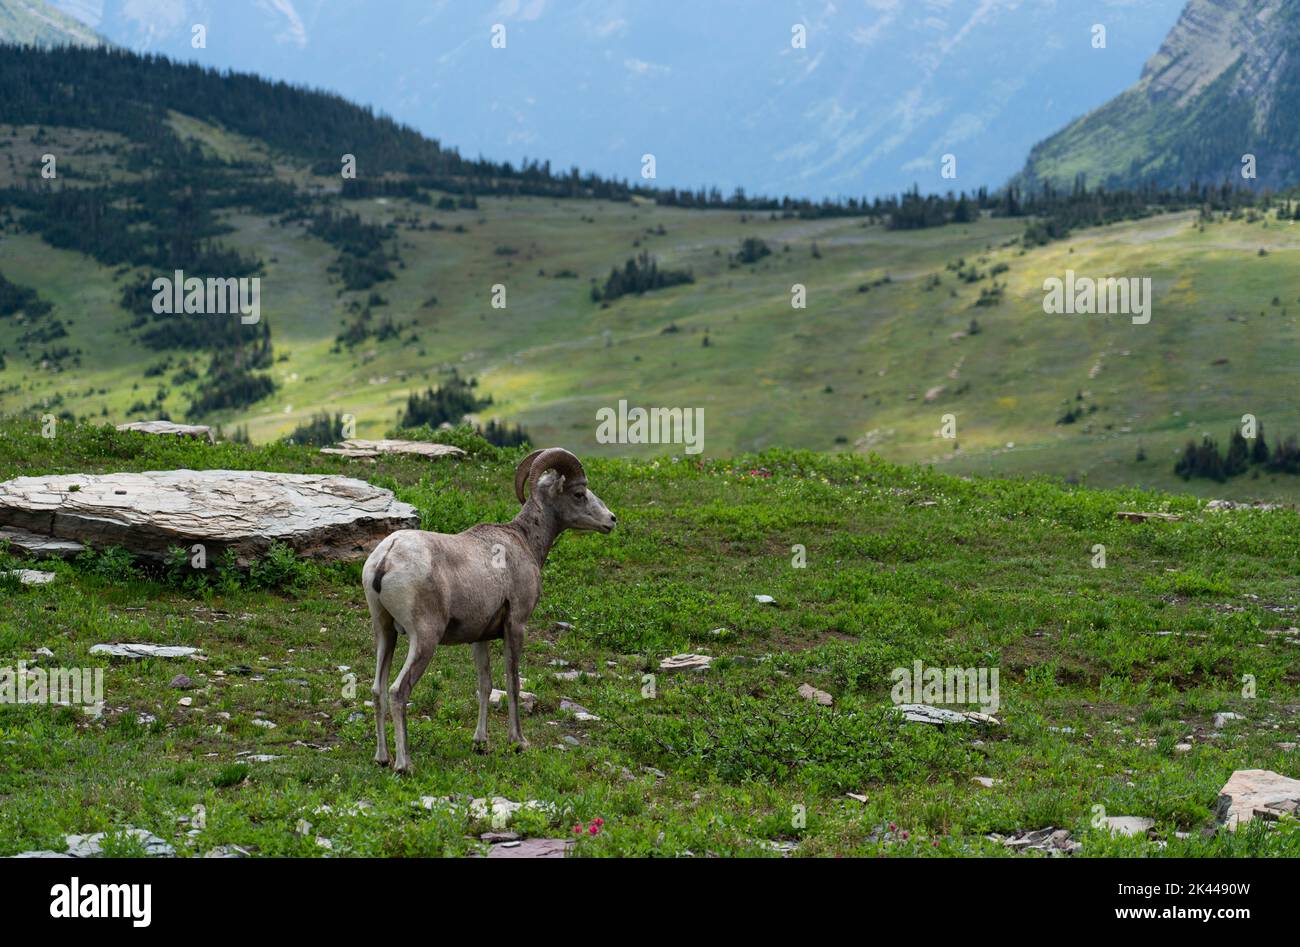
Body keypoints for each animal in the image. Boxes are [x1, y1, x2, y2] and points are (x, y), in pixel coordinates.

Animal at [362, 448, 615, 773]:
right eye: (579, 494)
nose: (611, 520)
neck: (524, 542)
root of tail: (386, 558)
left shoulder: (478, 636)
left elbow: (485, 684)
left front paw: (481, 743)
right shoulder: (516, 625)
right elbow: (512, 681)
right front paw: (518, 741)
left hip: (384, 632)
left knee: (378, 690)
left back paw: (382, 758)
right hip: (424, 639)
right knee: (398, 691)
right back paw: (404, 764)